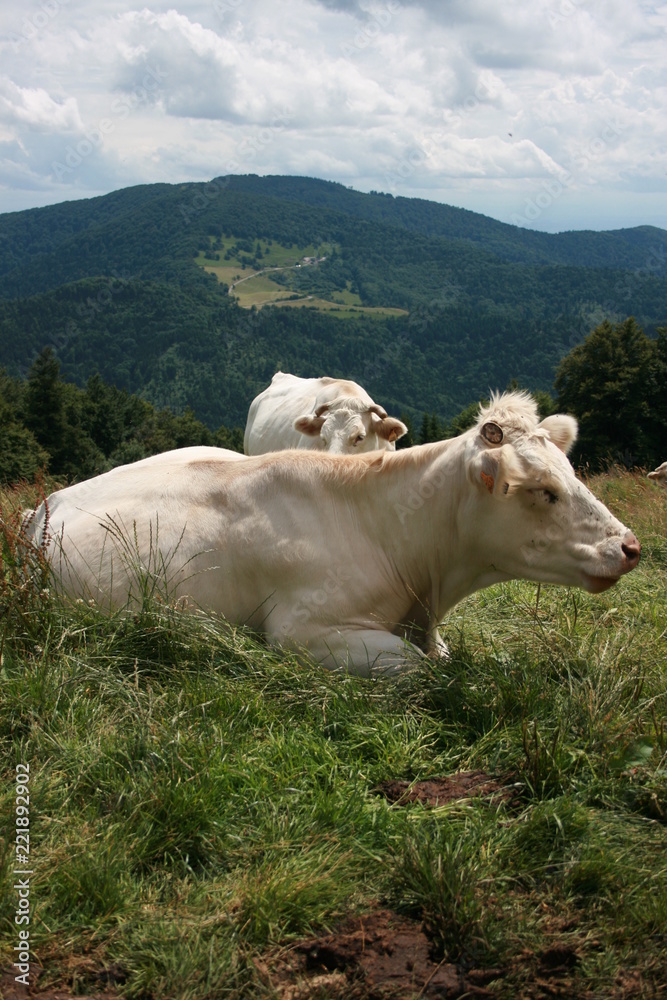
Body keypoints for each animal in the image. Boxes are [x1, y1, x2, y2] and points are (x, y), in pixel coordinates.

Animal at [26, 392, 640, 677]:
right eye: (543, 490)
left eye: (571, 472)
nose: (629, 548)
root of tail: (46, 504)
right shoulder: (302, 630)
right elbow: (418, 667)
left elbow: (439, 657)